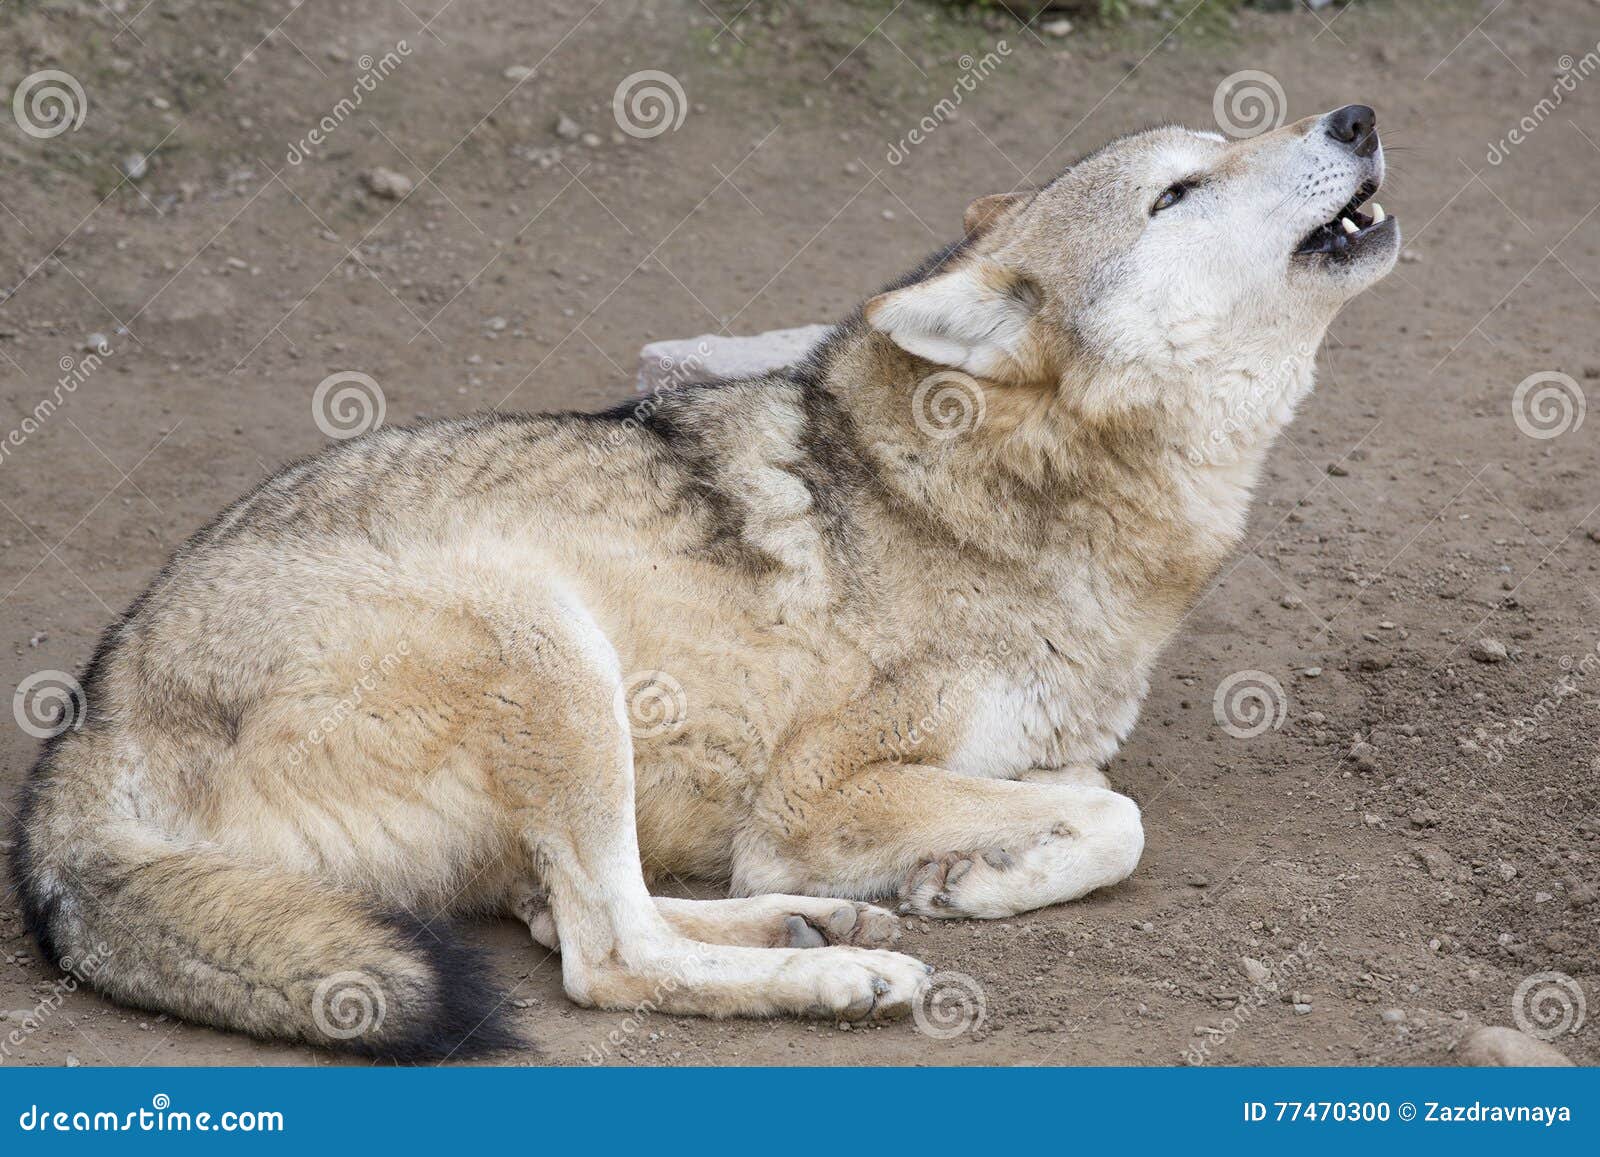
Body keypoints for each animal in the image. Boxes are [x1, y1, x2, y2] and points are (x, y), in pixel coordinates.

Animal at [9, 105, 1396, 1058]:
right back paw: (838, 976)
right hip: (549, 641)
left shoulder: (1026, 756)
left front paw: (963, 874)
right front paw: (975, 880)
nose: (1354, 118)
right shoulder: (811, 792)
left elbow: (1099, 806)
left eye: (1231, 137)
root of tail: (80, 747)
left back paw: (817, 926)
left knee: (586, 914)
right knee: (607, 955)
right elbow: (1120, 816)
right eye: (1178, 190)